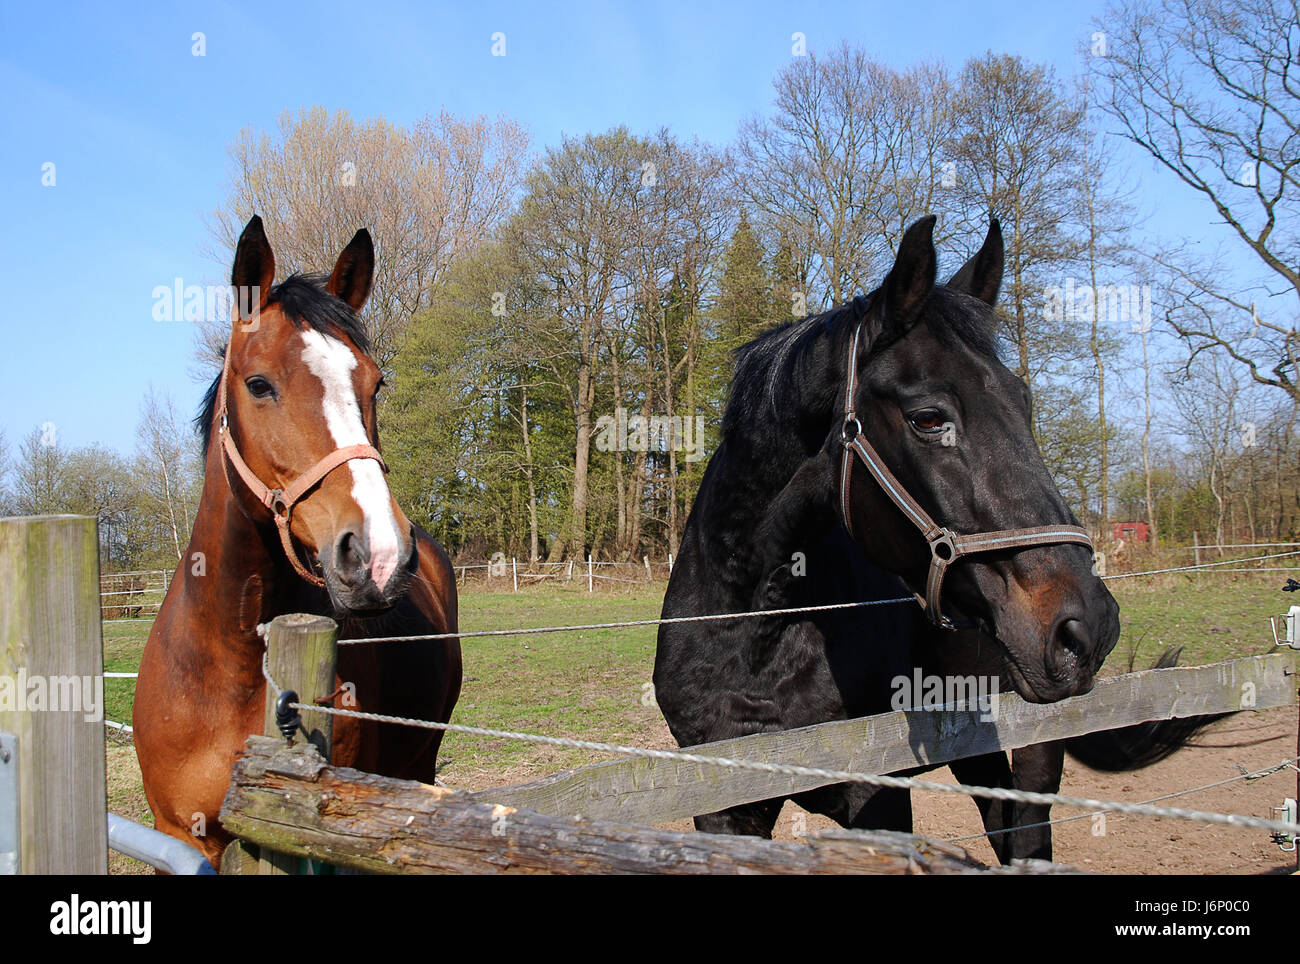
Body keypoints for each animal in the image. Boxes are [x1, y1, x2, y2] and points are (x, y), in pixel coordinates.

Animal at [134, 216, 462, 868]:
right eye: (259, 384)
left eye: (375, 384)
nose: (380, 555)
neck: (232, 662)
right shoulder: (180, 835)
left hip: (419, 764)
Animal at [654, 216, 1215, 862]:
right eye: (927, 418)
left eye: (1025, 402)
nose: (1087, 626)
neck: (752, 632)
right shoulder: (723, 808)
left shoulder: (877, 796)